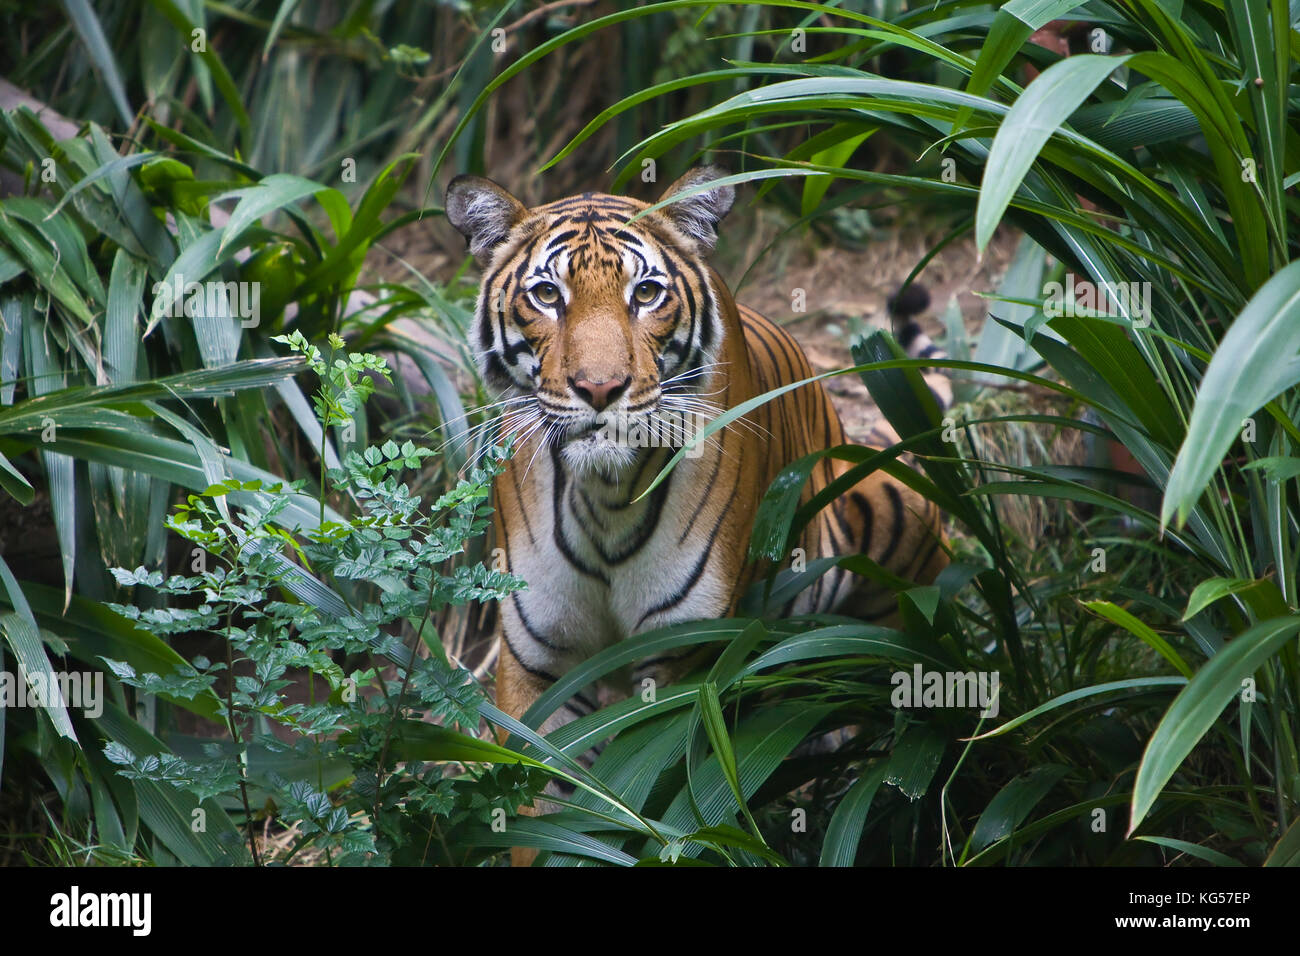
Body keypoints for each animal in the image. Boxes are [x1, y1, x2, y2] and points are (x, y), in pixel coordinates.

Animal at [444, 166, 948, 856]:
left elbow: (654, 796)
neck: (602, 498)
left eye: (646, 293)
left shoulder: (681, 656)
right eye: (547, 295)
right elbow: (547, 816)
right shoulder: (538, 662)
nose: (600, 388)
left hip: (893, 508)